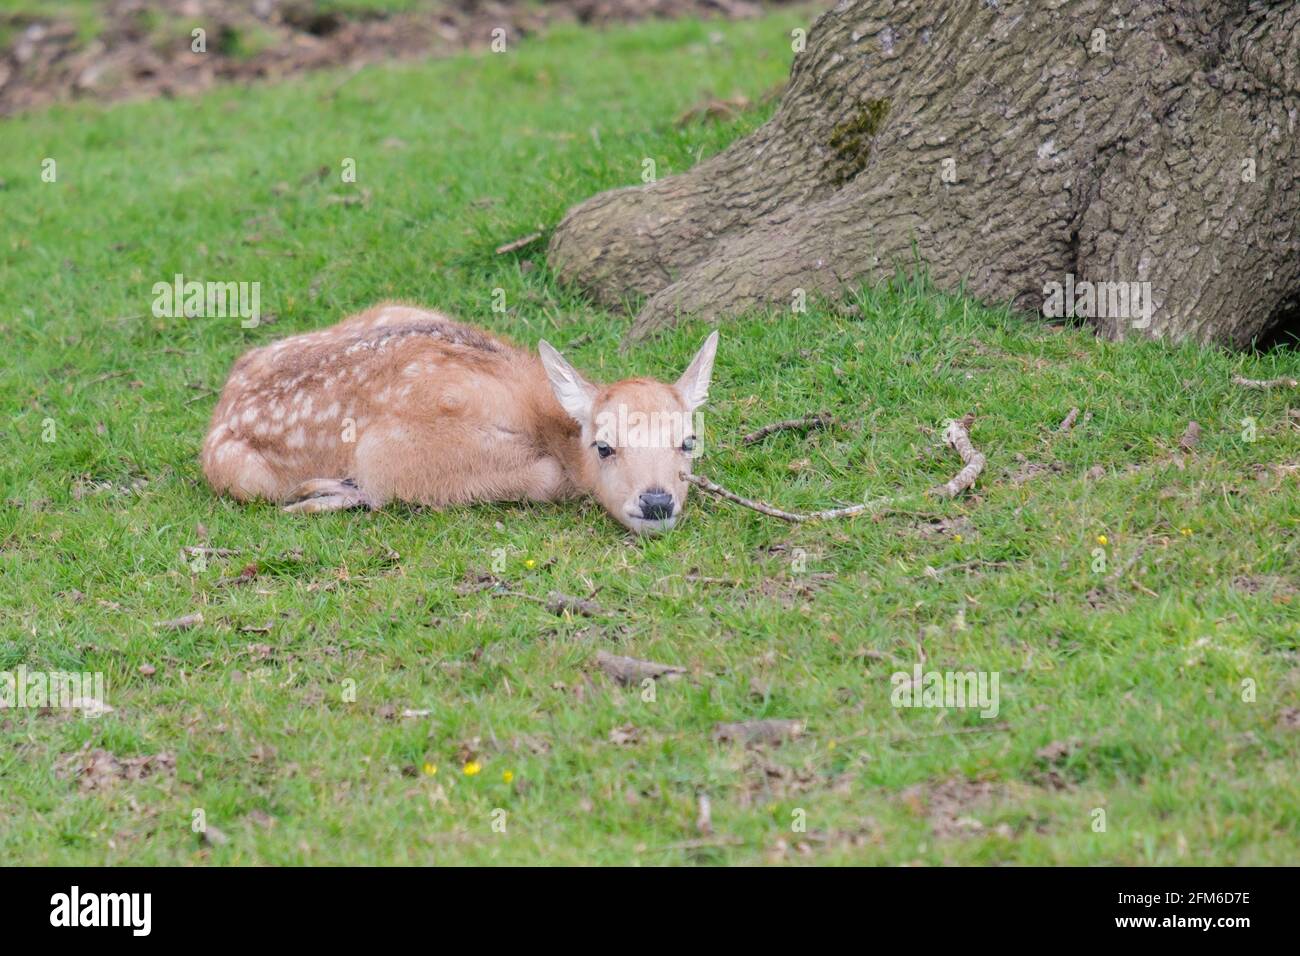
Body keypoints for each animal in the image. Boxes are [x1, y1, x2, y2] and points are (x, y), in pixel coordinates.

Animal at [201, 302, 718, 535]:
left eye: (689, 441)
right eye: (604, 445)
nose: (657, 502)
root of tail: (225, 397)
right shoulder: (389, 450)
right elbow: (549, 476)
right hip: (242, 475)